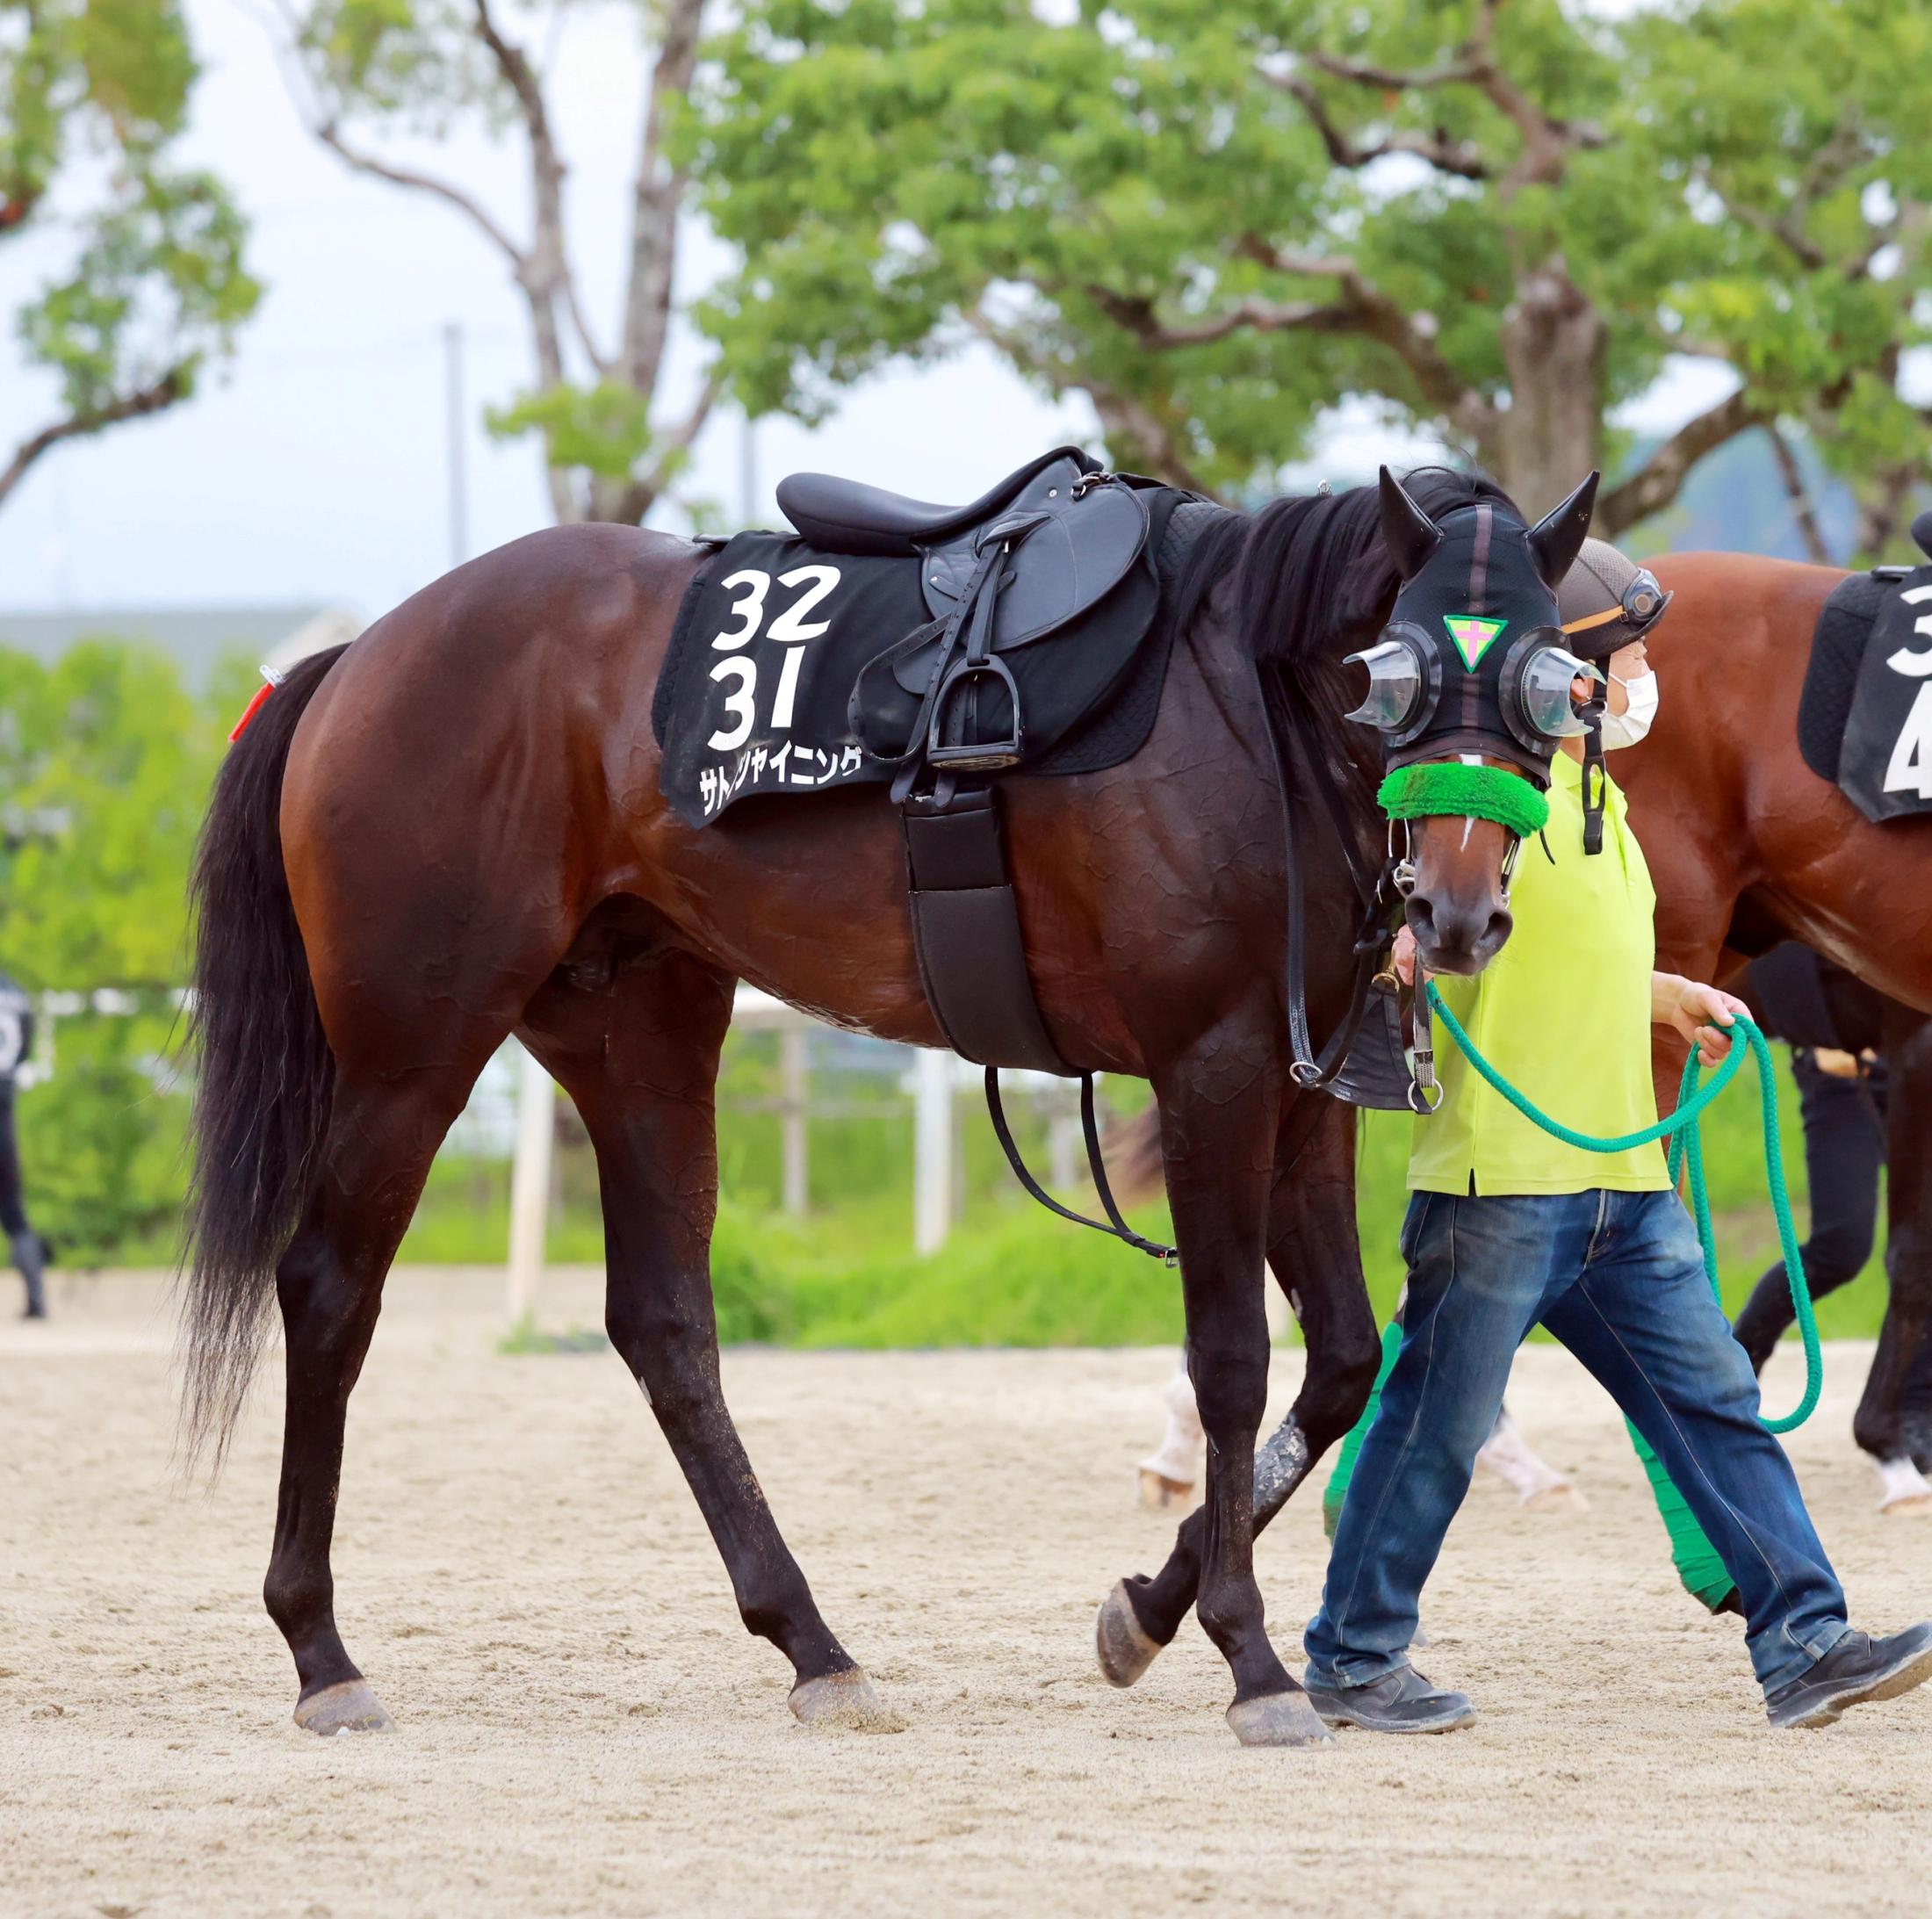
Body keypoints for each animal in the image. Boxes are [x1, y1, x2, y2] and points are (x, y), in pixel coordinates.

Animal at [179, 463, 1600, 1746]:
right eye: (1397, 668)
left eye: (1551, 681)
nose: (1458, 910)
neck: (1240, 701)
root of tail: (361, 656)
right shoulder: (1211, 1070)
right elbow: (1233, 1362)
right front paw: (1249, 1660)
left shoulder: (1301, 1094)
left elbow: (1348, 1358)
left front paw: (1146, 1612)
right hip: (415, 1048)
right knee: (329, 1288)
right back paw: (322, 1651)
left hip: (636, 1024)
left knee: (663, 1326)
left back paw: (814, 1645)